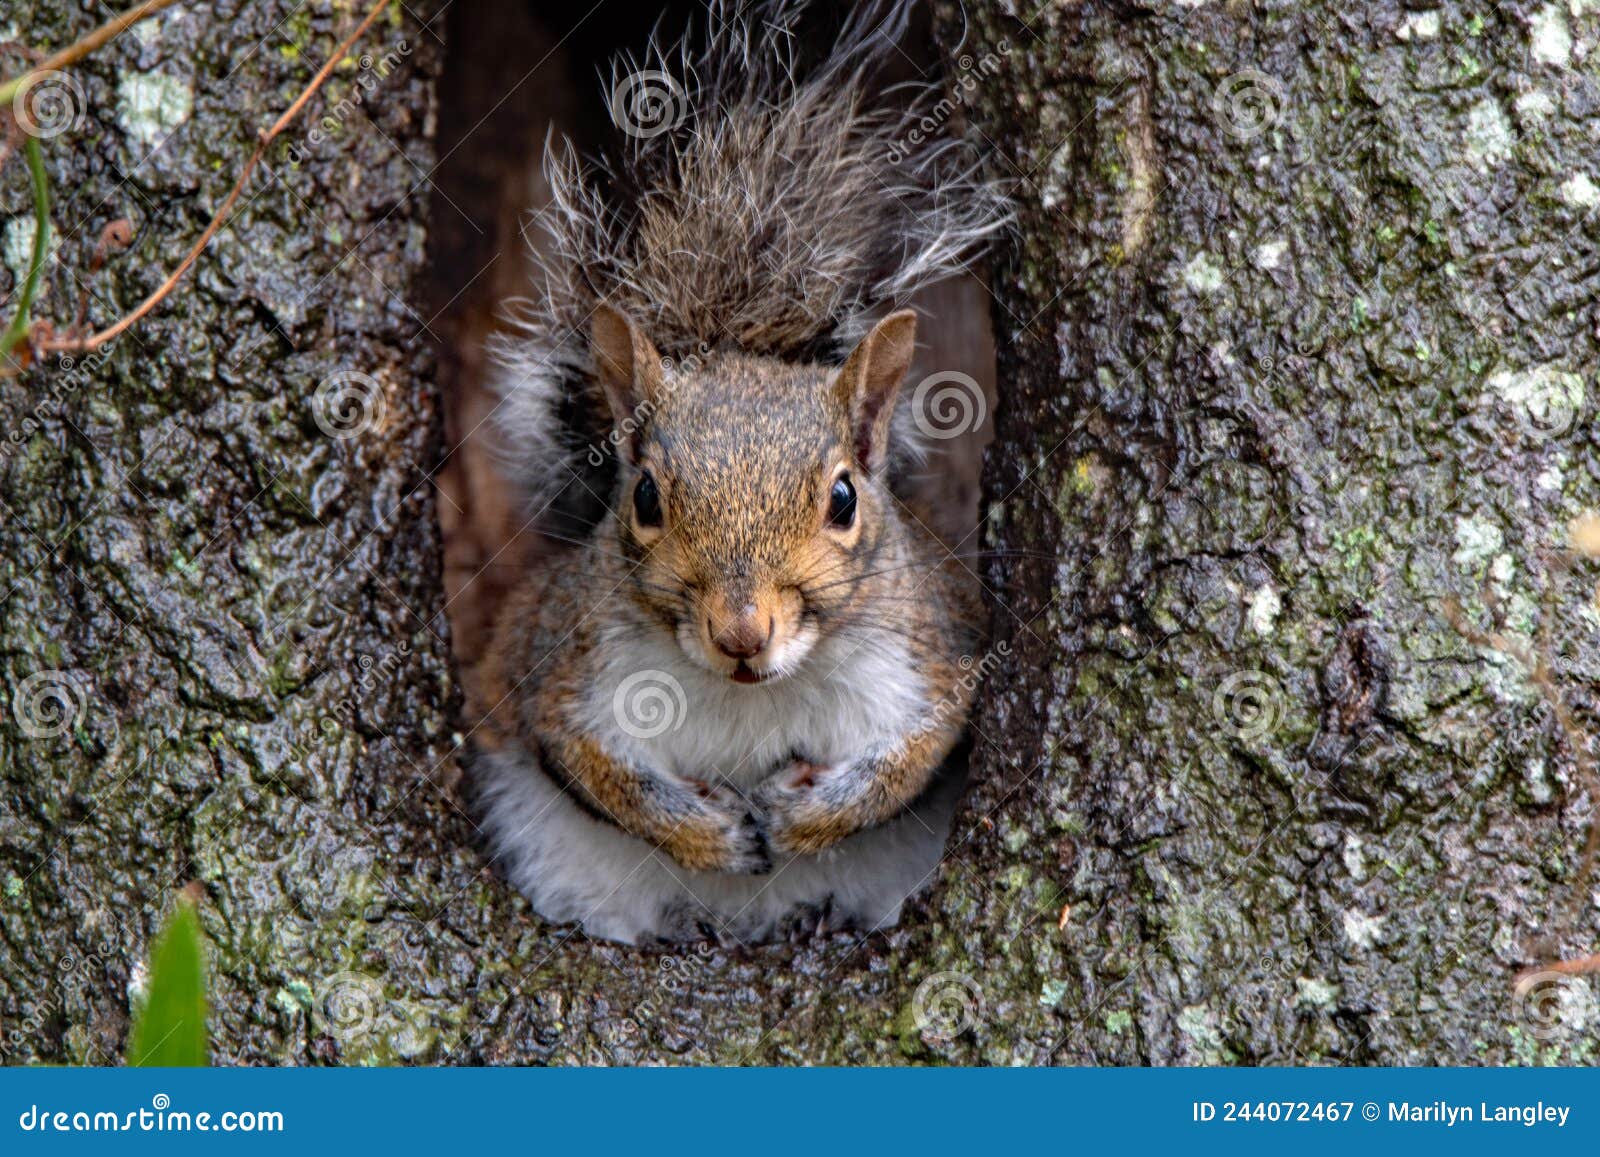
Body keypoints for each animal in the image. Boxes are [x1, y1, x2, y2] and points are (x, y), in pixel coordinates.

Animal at [469, 0, 1007, 944]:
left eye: (844, 498)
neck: (755, 696)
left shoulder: (935, 650)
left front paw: (807, 817)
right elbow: (582, 756)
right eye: (645, 495)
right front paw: (703, 831)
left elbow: (918, 753)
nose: (742, 633)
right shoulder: (560, 657)